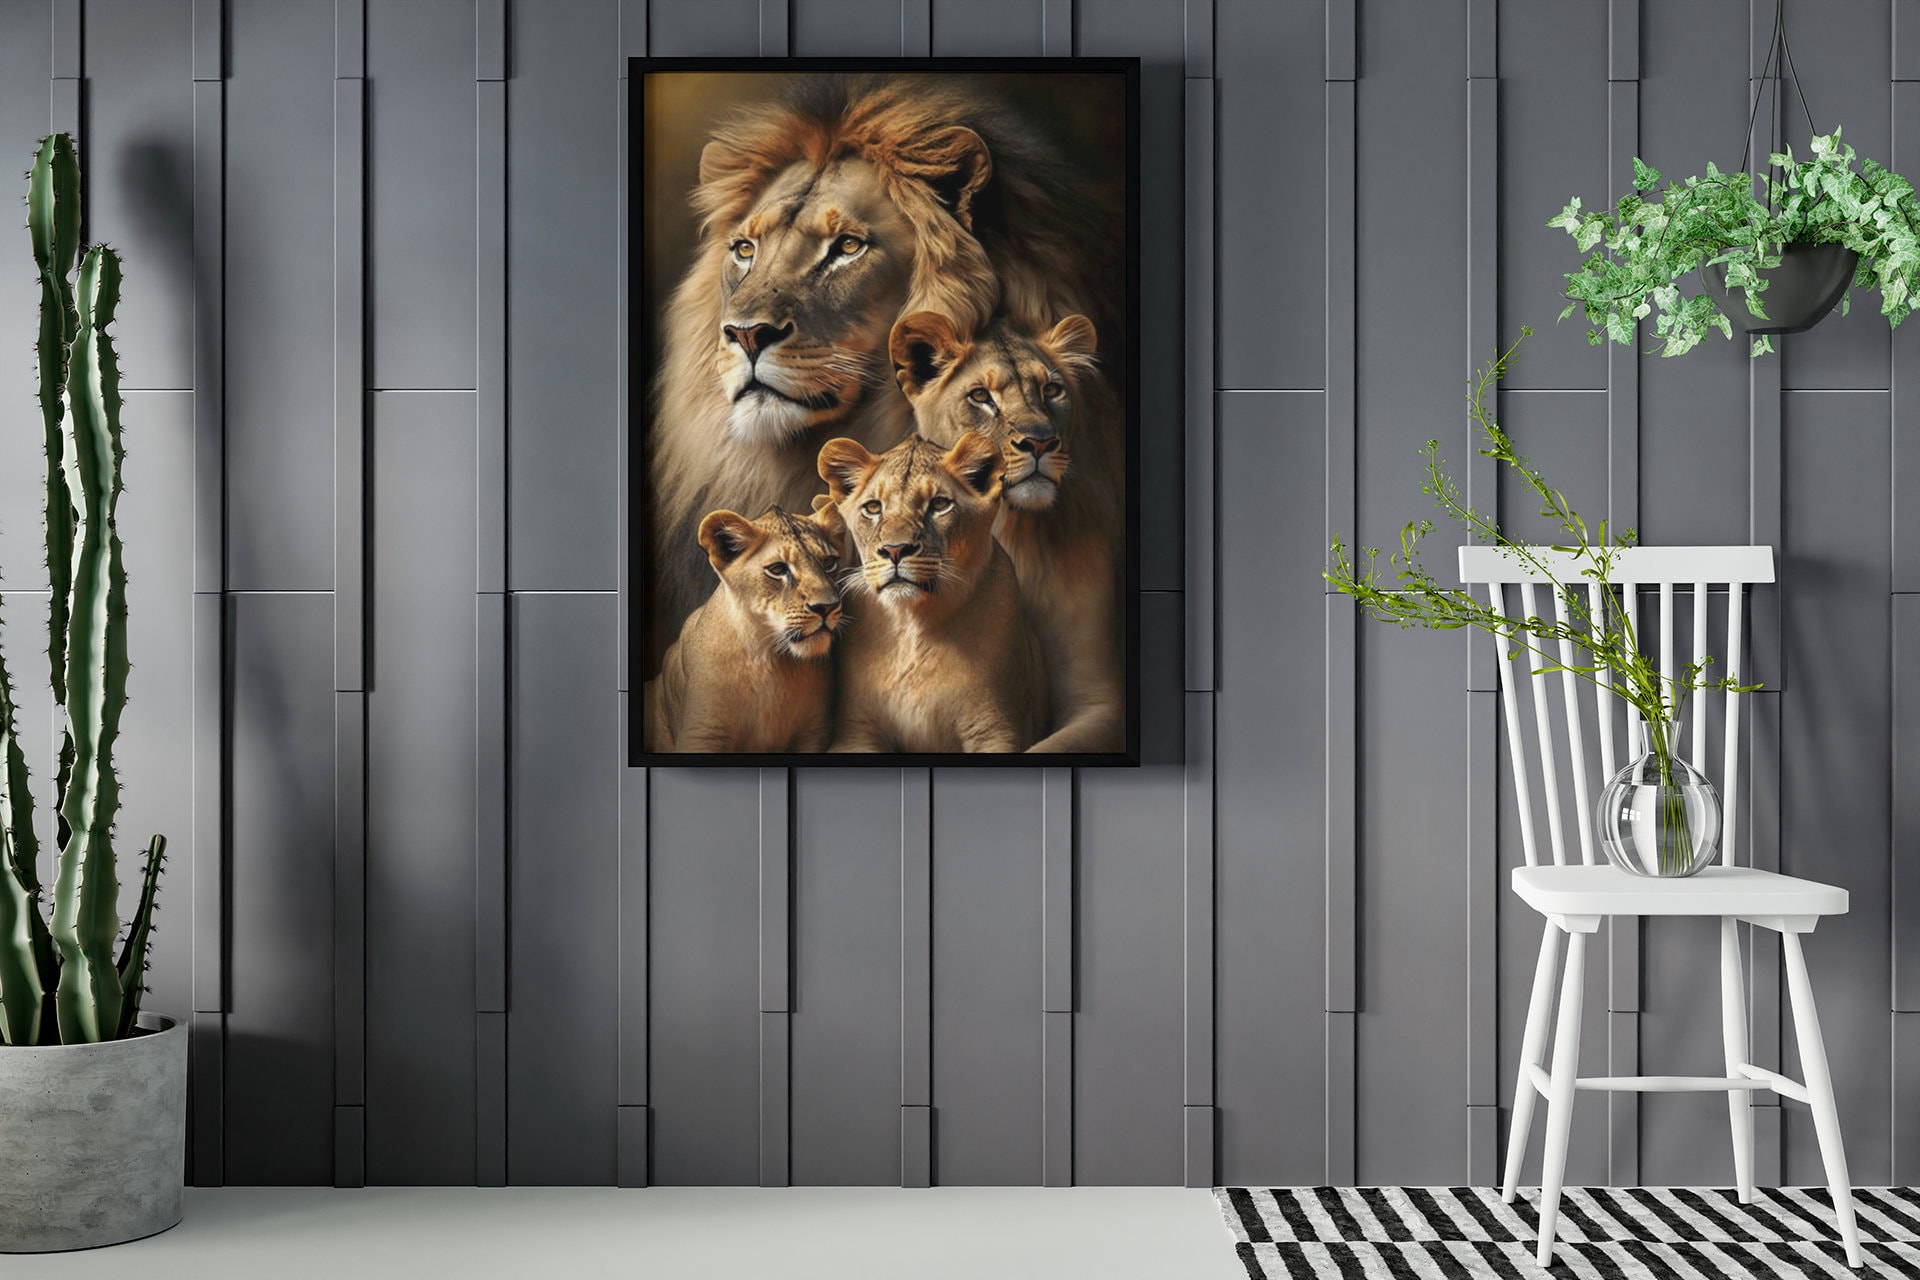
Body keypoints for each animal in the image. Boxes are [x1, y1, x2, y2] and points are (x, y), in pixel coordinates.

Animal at [642, 503, 847, 753]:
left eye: (829, 563)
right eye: (778, 569)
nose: (828, 606)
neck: (770, 661)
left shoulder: (814, 732)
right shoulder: (702, 732)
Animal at [816, 431, 1047, 754]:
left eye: (939, 504)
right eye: (873, 508)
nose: (895, 550)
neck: (912, 626)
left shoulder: (996, 729)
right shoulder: (856, 731)